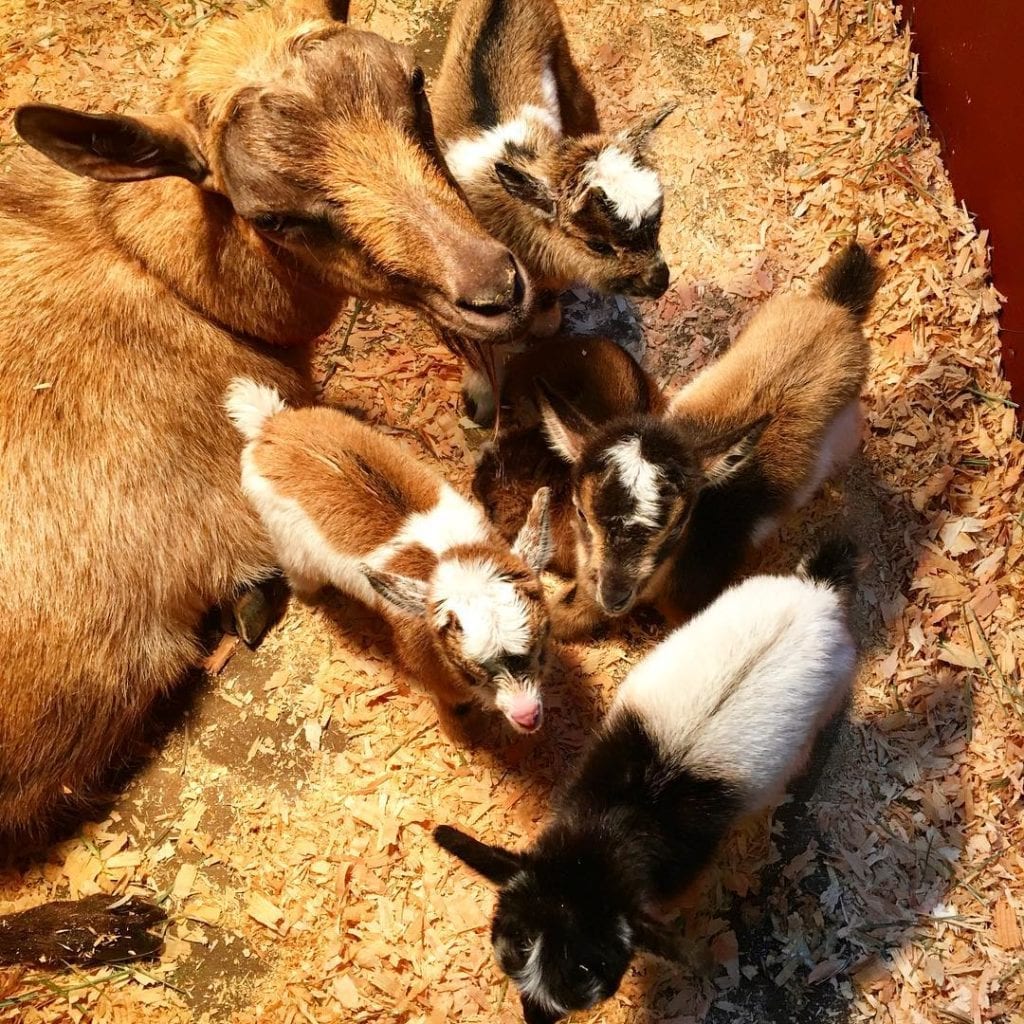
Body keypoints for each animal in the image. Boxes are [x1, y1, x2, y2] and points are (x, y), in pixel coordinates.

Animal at [226, 379, 554, 734]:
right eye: (470, 672)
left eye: (541, 646)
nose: (527, 716)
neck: (450, 554)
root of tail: (271, 424)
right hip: (289, 548)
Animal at [434, 539, 859, 1024]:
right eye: (518, 942)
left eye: (586, 971)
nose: (535, 1014)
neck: (611, 830)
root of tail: (816, 594)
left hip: (836, 683)